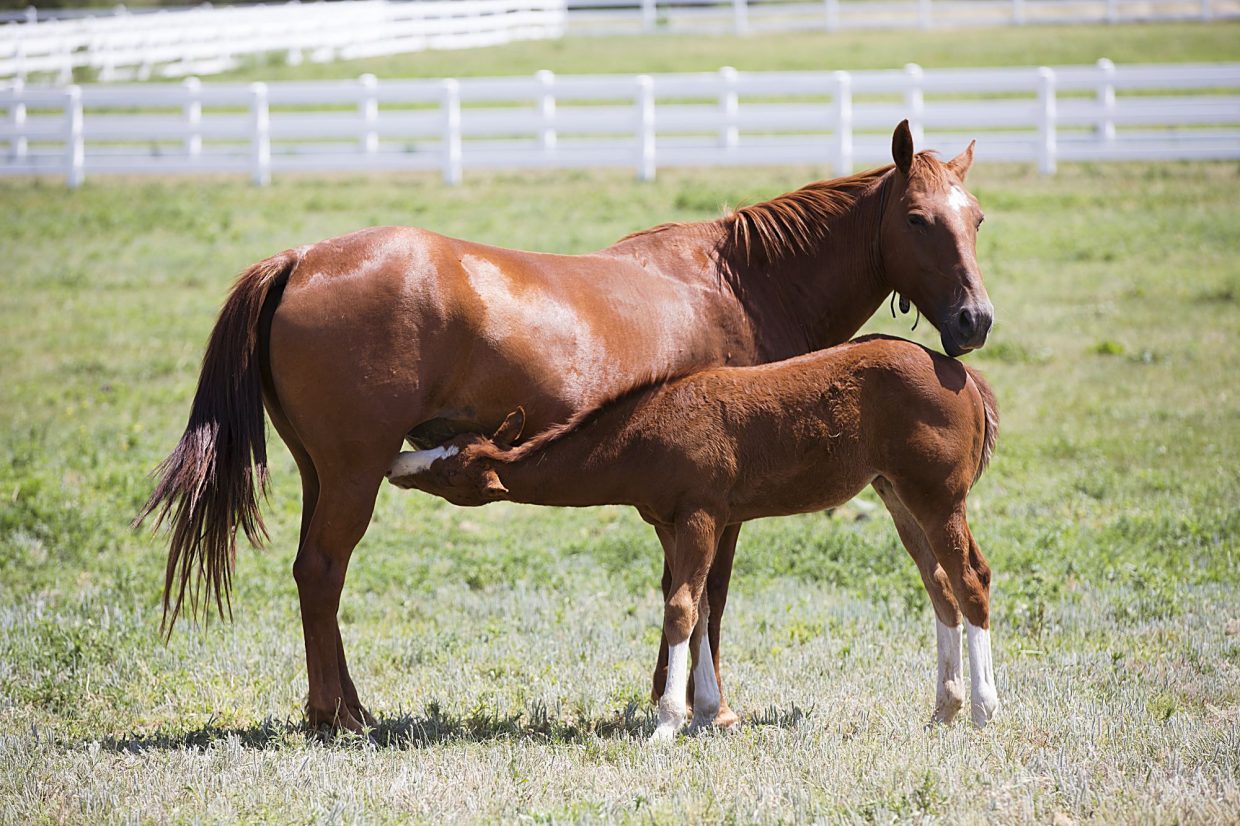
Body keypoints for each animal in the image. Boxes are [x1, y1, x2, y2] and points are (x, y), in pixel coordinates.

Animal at [387, 334, 1000, 739]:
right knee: (939, 583)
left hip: (938, 496)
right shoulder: (669, 522)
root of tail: (967, 379)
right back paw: (944, 708)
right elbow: (700, 604)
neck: (644, 433)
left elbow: (682, 607)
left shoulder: (703, 516)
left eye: (449, 470)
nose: (394, 463)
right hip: (896, 494)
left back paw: (983, 710)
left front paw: (667, 725)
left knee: (970, 580)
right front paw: (706, 708)